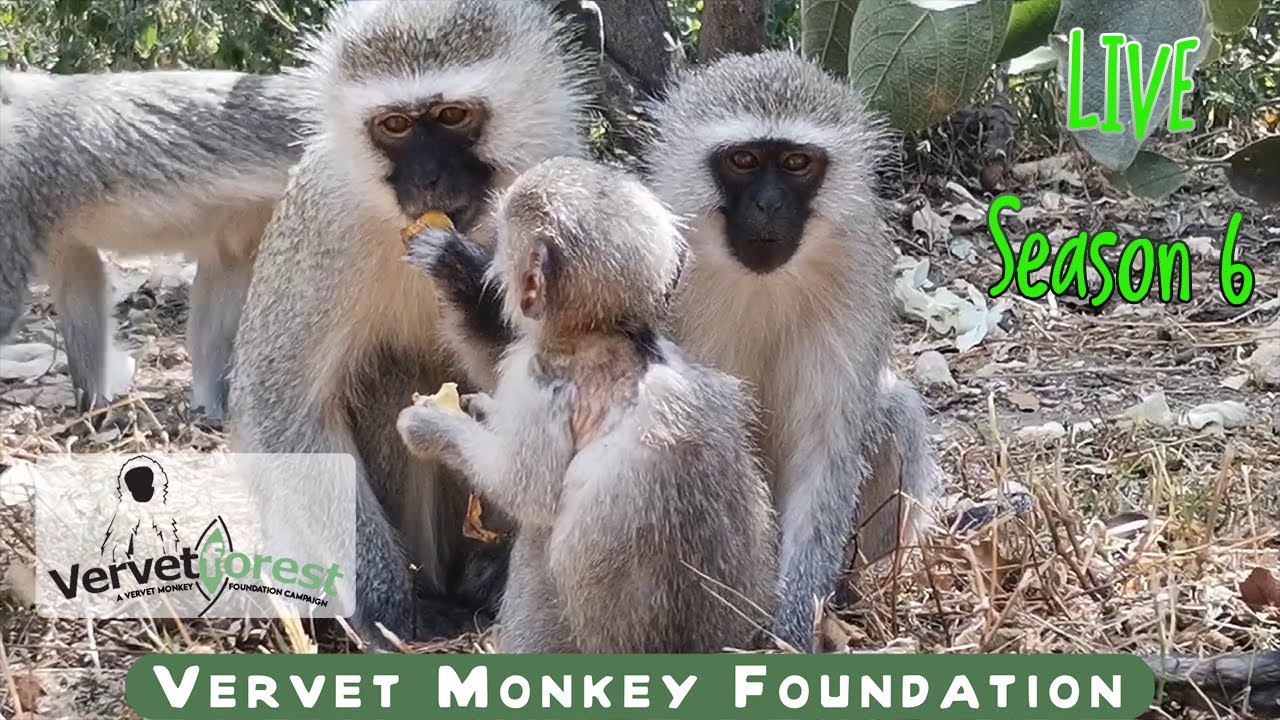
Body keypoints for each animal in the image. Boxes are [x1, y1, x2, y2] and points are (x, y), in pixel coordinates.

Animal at [227, 0, 594, 646]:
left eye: (452, 115)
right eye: (395, 125)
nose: (427, 179)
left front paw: (469, 290)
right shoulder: (323, 220)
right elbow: (284, 406)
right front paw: (385, 609)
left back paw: (488, 573)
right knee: (390, 372)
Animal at [397, 156, 778, 653]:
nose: (490, 266)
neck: (605, 334)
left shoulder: (540, 376)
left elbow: (525, 488)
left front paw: (434, 426)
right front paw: (482, 411)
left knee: (536, 538)